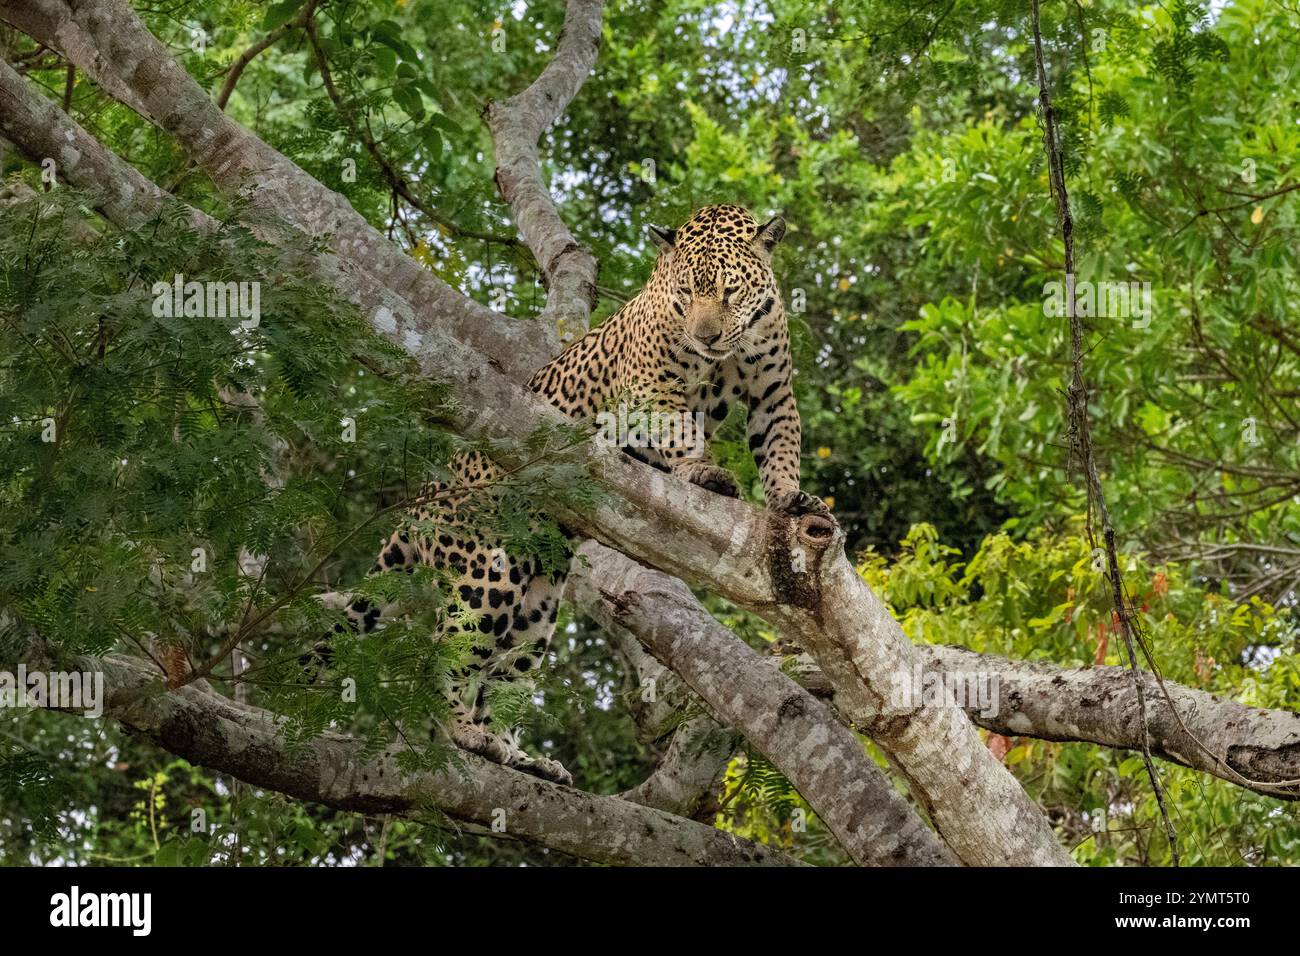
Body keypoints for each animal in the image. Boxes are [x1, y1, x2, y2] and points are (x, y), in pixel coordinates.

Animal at [323, 204, 829, 786]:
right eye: (684, 293)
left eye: (729, 291)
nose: (705, 337)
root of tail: (429, 492)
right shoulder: (652, 382)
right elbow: (678, 427)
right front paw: (702, 470)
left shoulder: (774, 393)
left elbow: (782, 450)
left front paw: (790, 498)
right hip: (485, 574)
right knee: (449, 651)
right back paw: (465, 734)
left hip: (537, 600)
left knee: (508, 671)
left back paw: (520, 756)